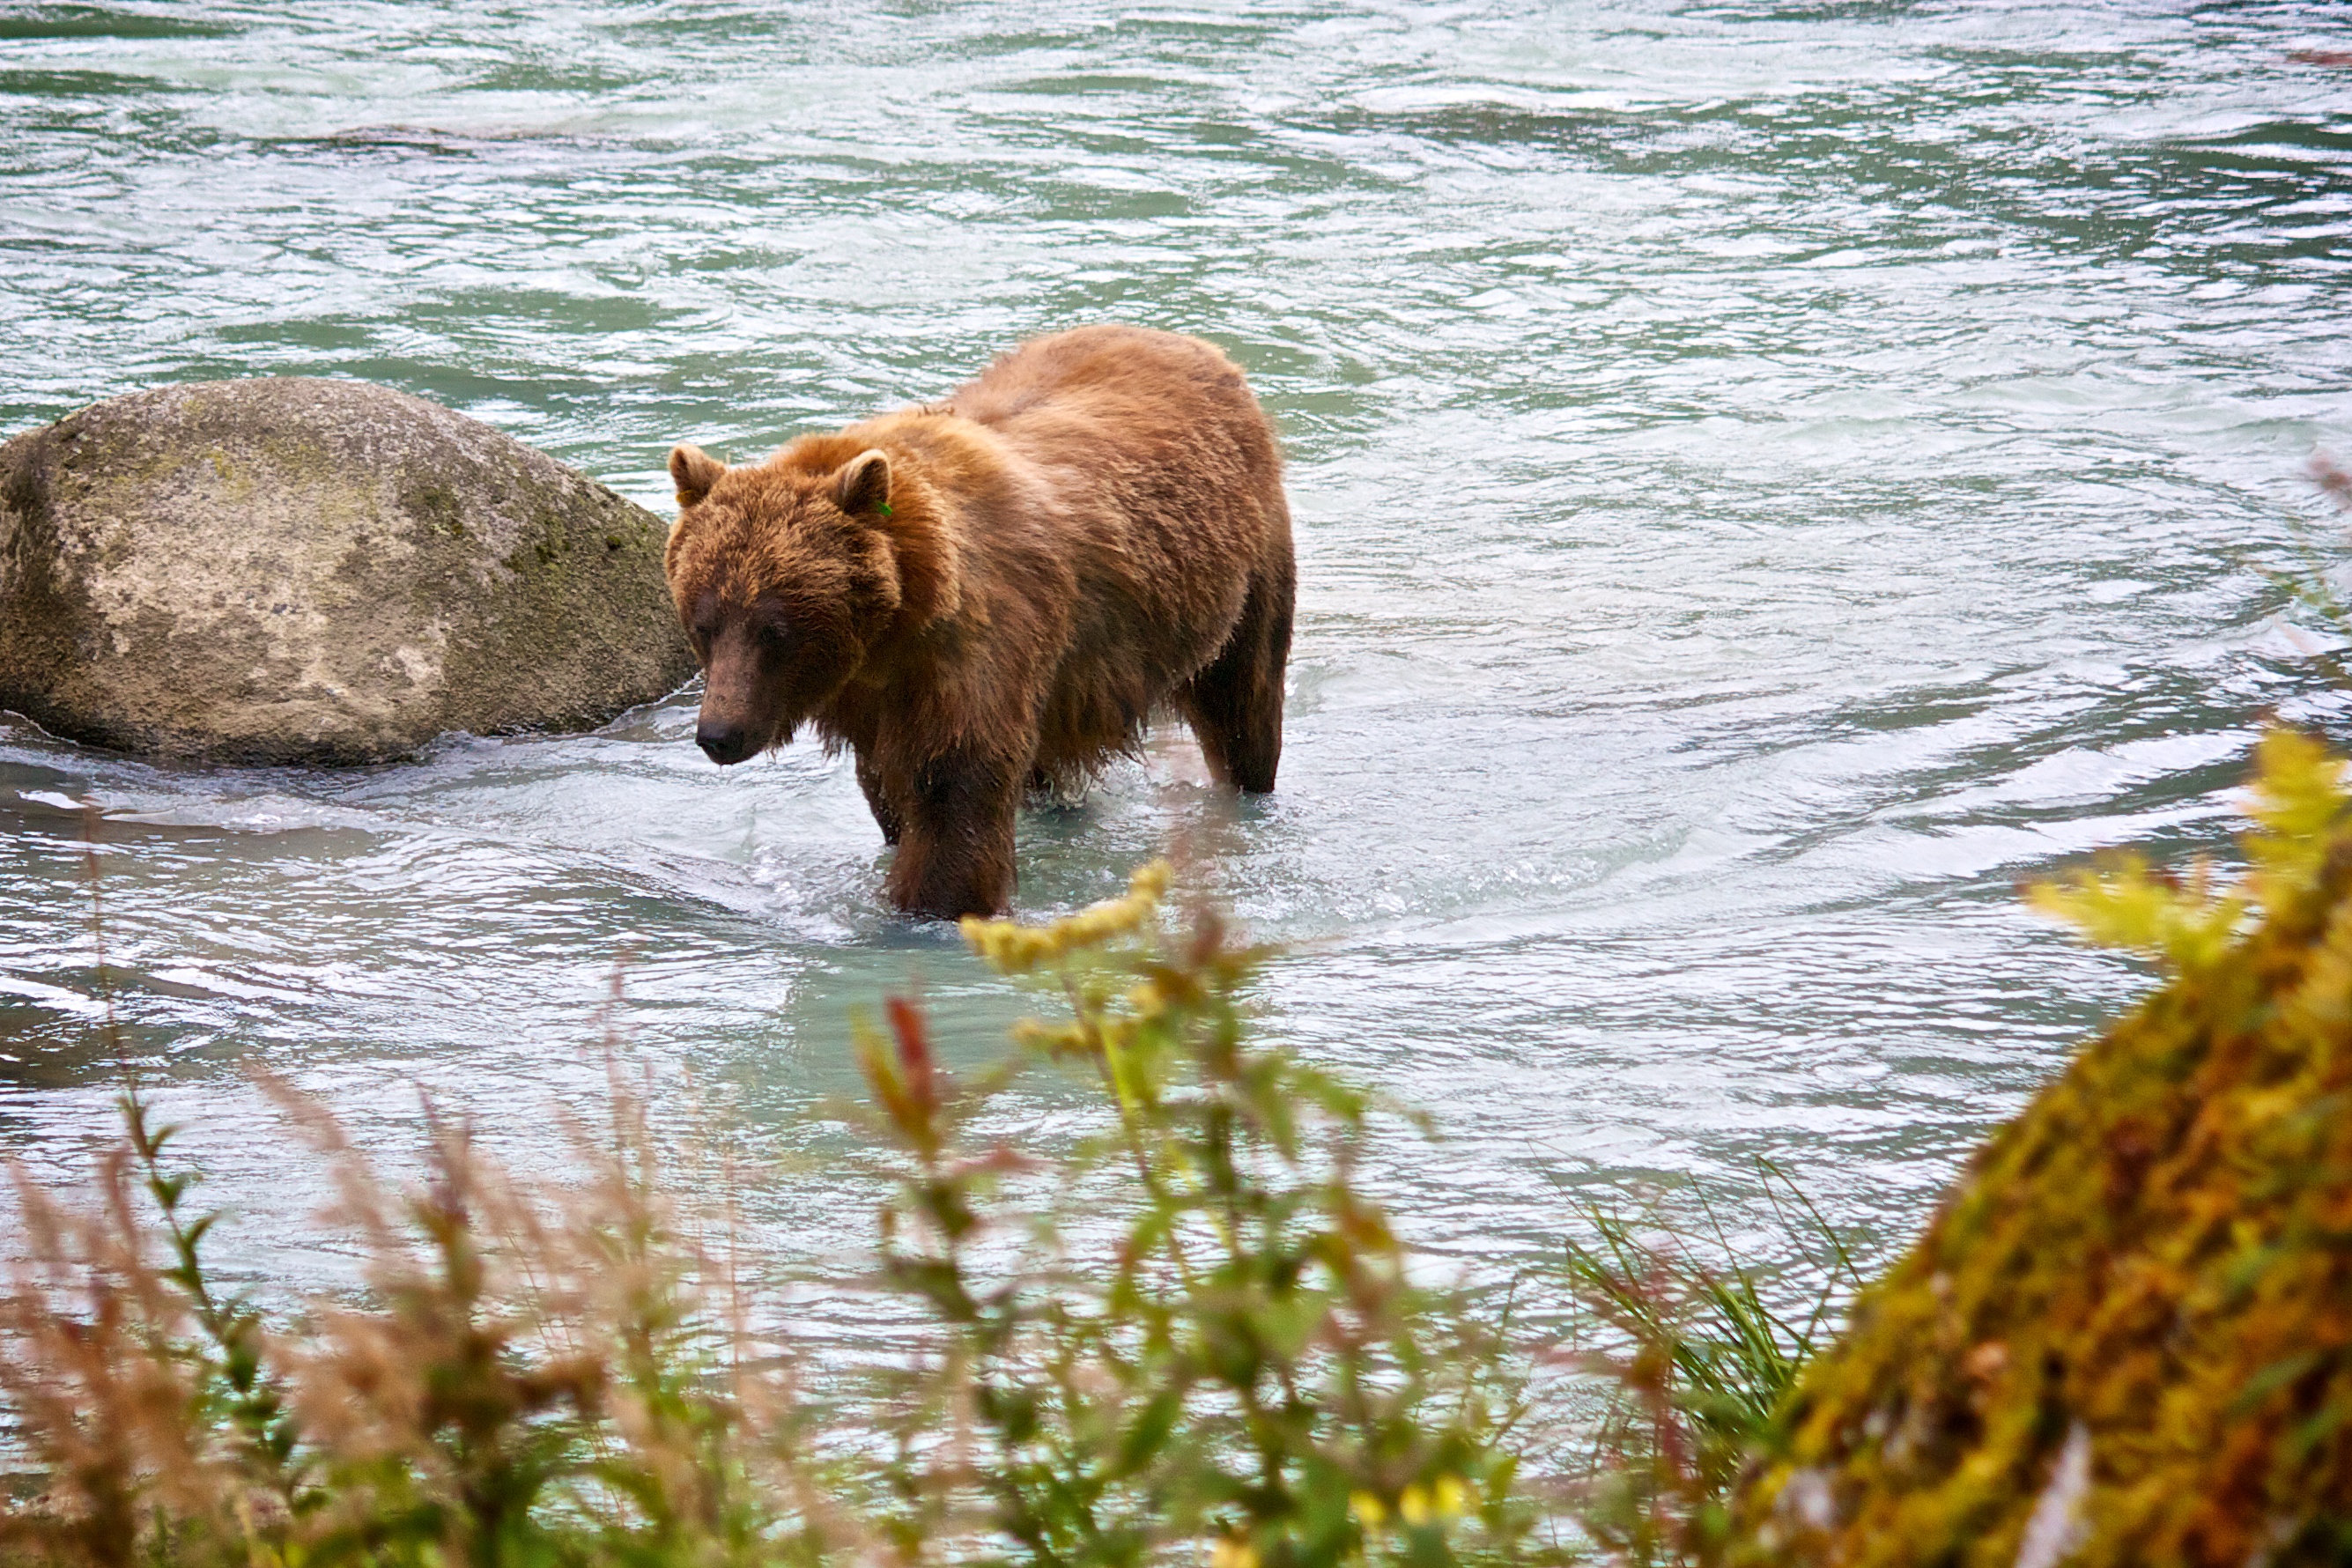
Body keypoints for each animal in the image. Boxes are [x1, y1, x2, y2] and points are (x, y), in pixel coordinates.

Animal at [662, 324, 1295, 920]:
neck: (896, 625)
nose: (718, 734)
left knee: (1243, 702)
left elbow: (953, 794)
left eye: (774, 629)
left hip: (1244, 573)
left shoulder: (979, 647)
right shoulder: (873, 699)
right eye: (704, 623)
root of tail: (1194, 345)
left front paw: (924, 910)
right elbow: (890, 790)